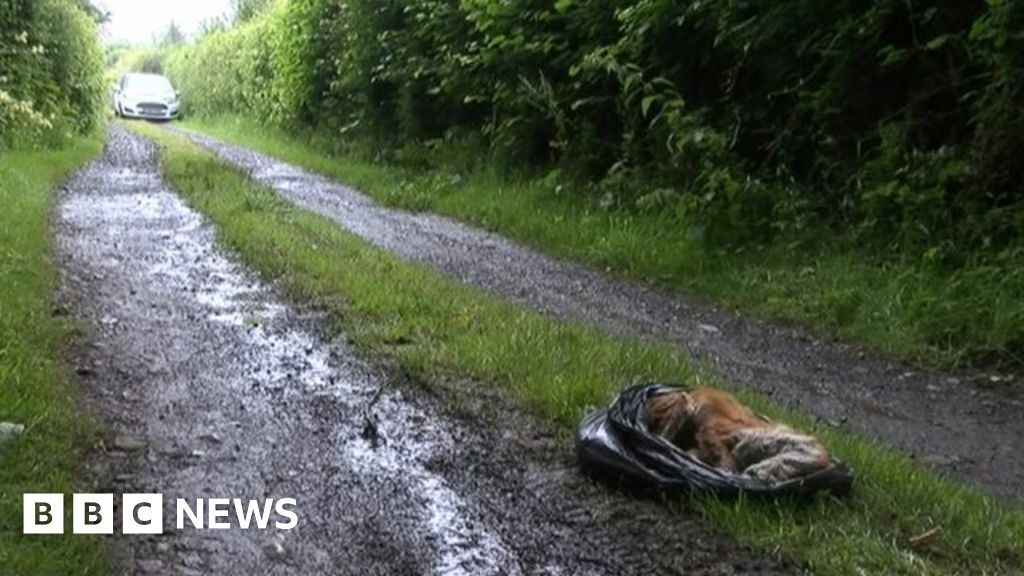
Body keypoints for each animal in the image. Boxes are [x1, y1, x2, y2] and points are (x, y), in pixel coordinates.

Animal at [645, 387, 830, 482]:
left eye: (793, 471)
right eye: (792, 466)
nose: (755, 474)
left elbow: (699, 453)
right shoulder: (714, 430)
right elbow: (725, 462)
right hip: (683, 405)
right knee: (661, 436)